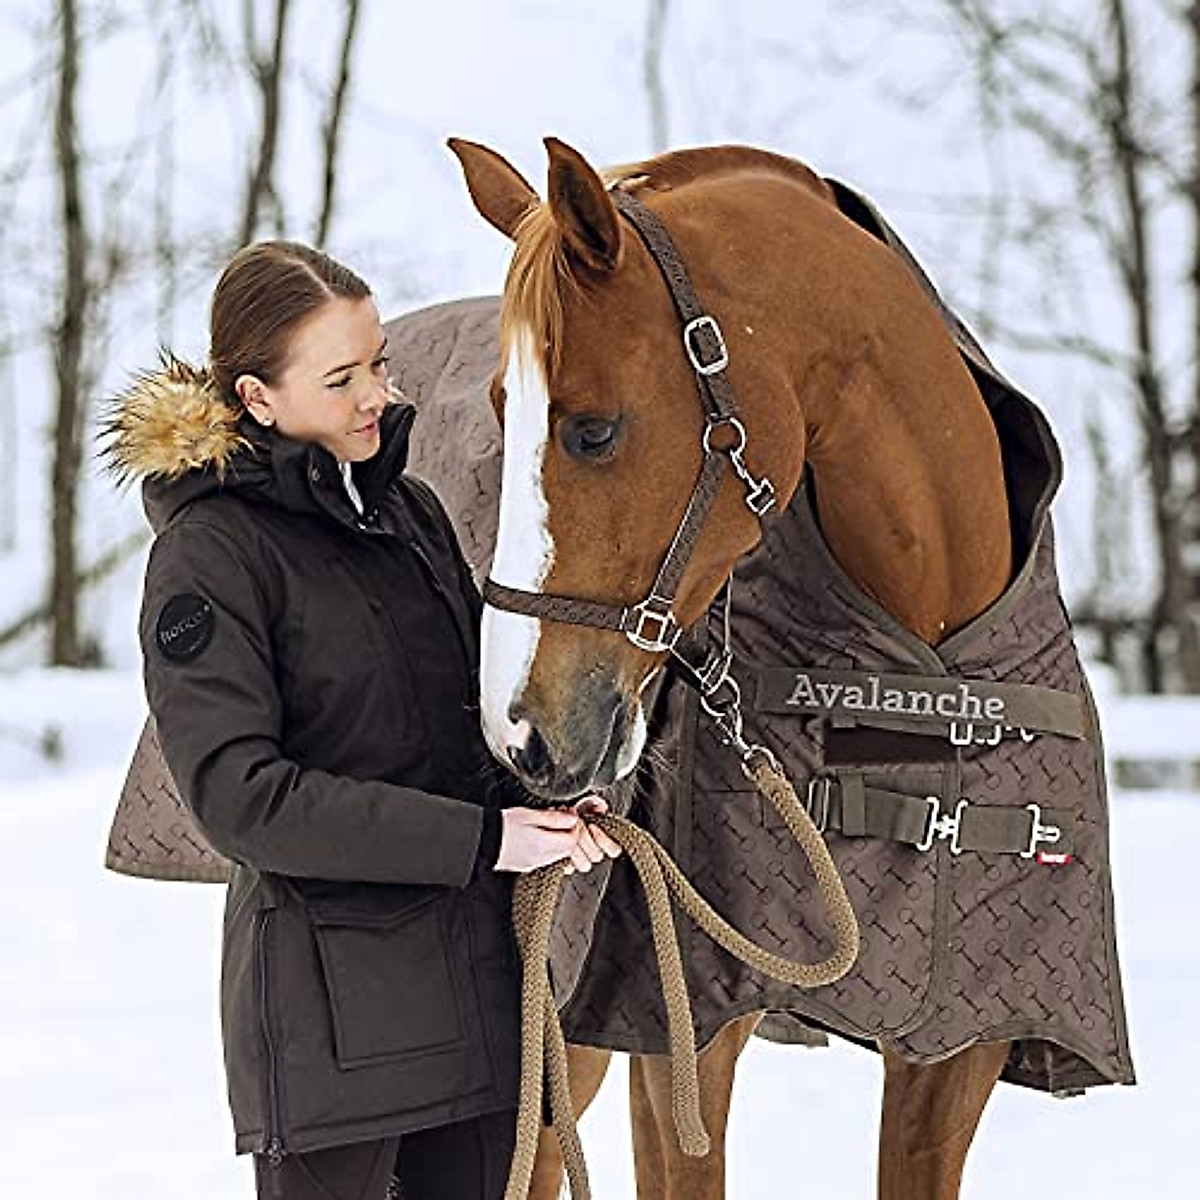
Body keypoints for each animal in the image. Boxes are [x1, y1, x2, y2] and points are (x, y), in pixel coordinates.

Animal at [443, 137, 1132, 1199]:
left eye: (593, 429)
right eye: (500, 414)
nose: (523, 732)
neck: (928, 679)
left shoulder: (957, 1057)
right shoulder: (678, 1038)